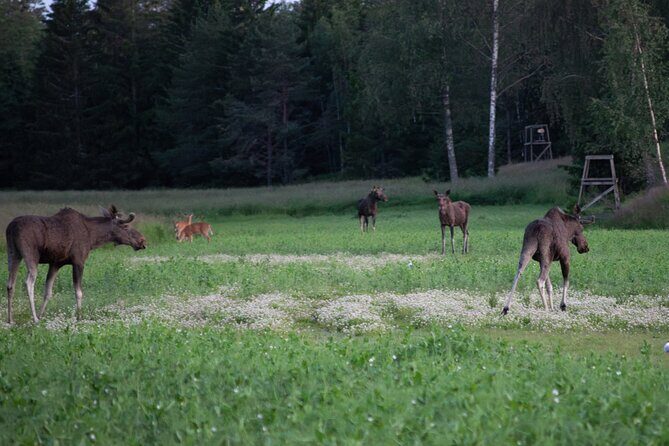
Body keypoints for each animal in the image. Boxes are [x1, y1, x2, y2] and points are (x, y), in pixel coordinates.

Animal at [5, 205, 146, 324]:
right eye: (126, 226)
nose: (142, 240)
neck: (93, 238)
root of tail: (11, 228)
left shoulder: (55, 263)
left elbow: (48, 292)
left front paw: (41, 315)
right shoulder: (78, 261)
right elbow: (78, 292)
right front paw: (79, 316)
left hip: (13, 254)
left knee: (10, 284)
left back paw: (10, 319)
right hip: (30, 254)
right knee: (28, 282)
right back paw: (33, 319)